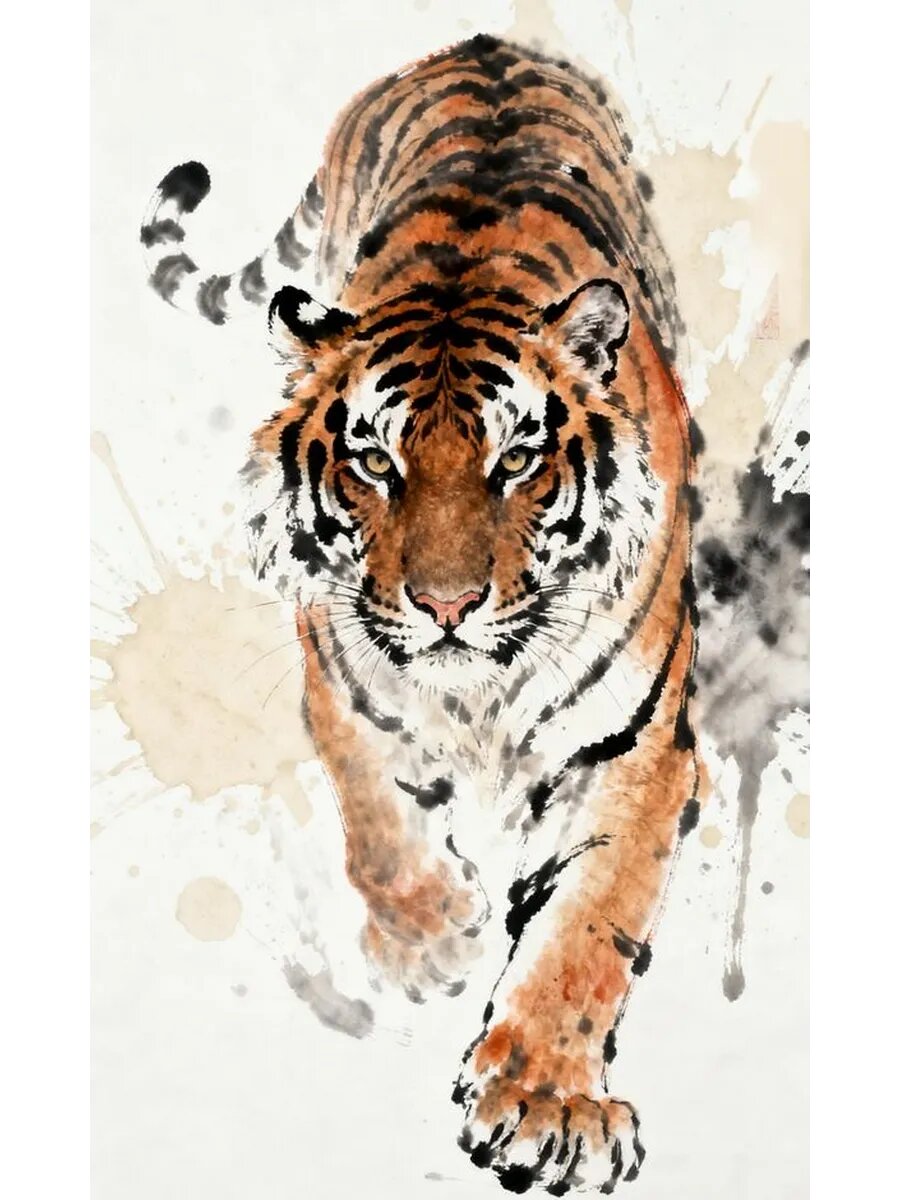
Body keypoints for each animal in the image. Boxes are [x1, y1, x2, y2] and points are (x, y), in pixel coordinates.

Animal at [142, 34, 702, 1196]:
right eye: (374, 462)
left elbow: (589, 923)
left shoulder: (639, 747)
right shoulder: (339, 678)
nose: (445, 604)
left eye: (517, 460)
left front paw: (548, 1102)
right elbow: (377, 825)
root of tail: (483, 41)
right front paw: (433, 939)